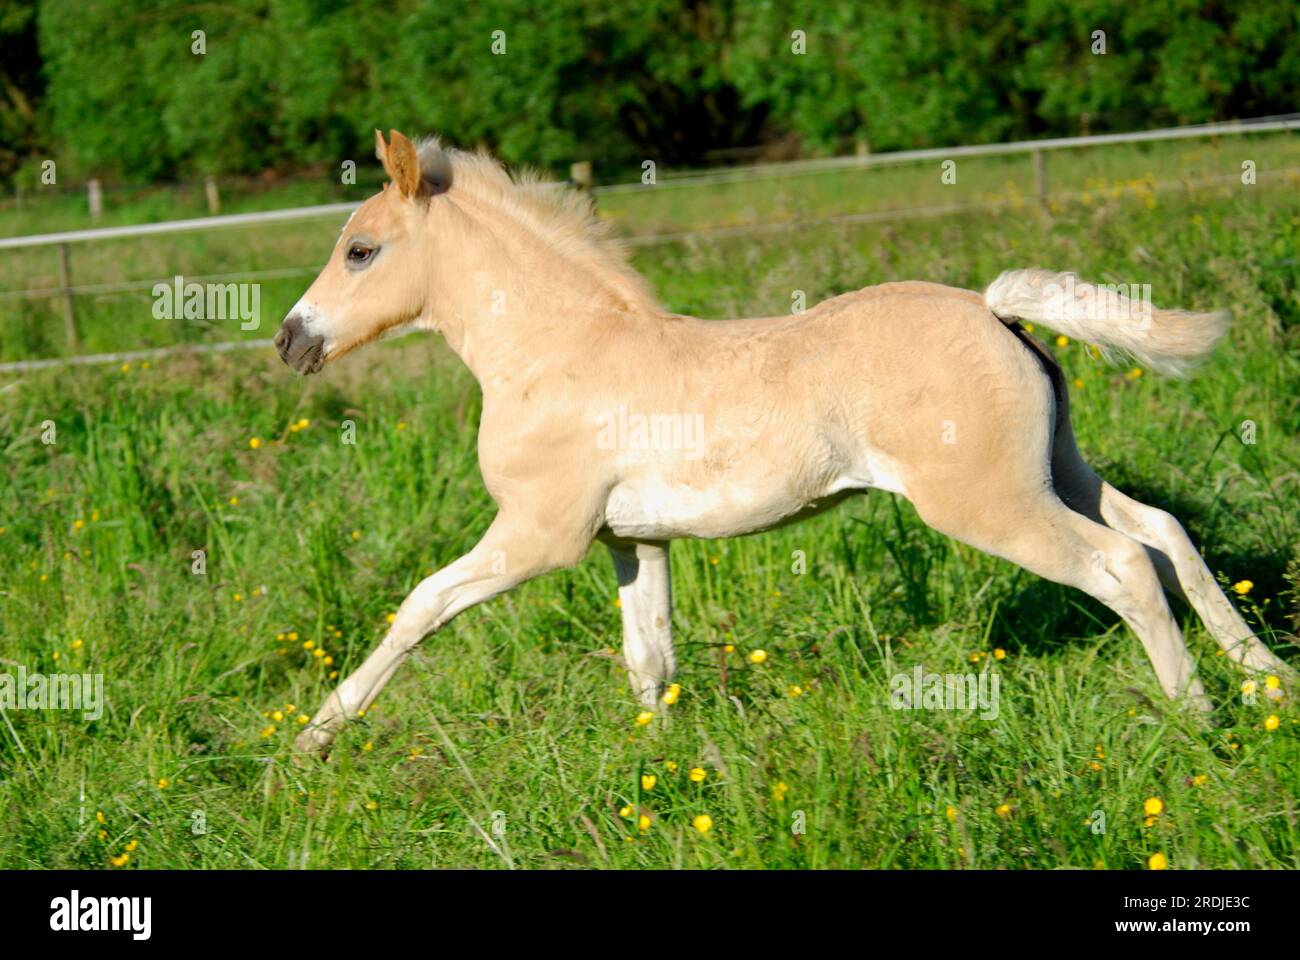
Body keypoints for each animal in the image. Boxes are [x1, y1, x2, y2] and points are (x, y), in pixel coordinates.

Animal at [276, 129, 1292, 754]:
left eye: (360, 250)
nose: (290, 340)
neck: (559, 351)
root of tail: (993, 309)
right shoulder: (632, 540)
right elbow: (651, 659)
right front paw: (657, 773)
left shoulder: (537, 536)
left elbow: (420, 606)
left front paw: (312, 737)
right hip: (1060, 474)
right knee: (1162, 532)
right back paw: (1267, 679)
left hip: (993, 505)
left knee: (1122, 565)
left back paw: (1199, 718)